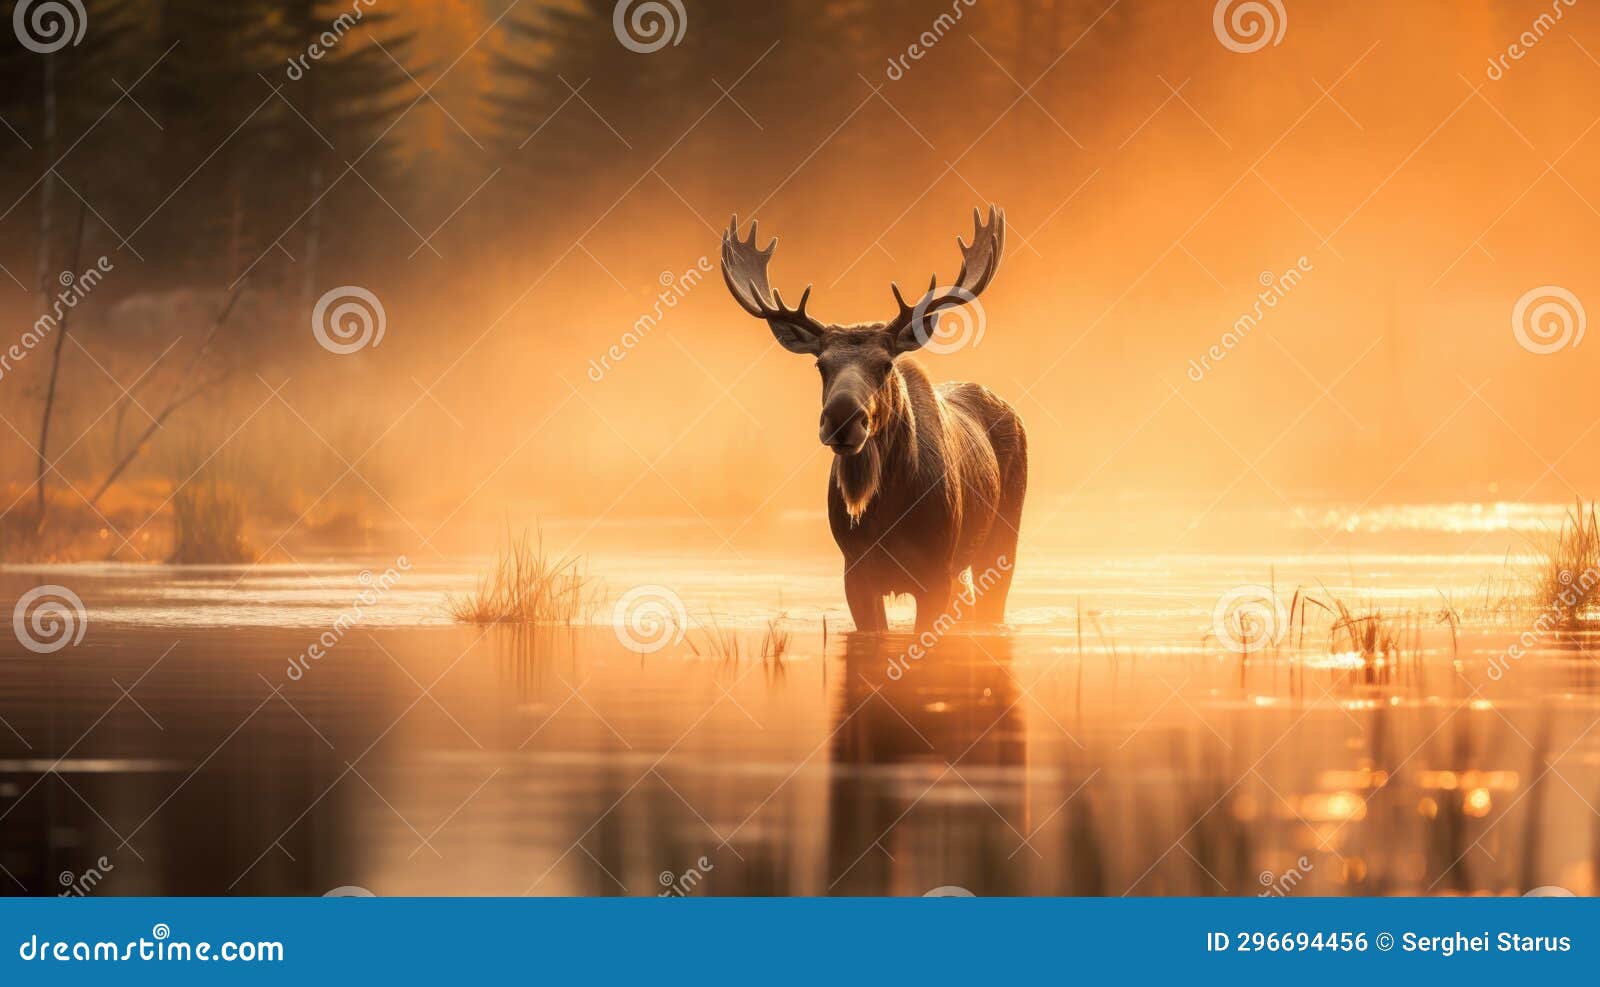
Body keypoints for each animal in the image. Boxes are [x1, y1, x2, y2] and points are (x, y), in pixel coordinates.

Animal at [721, 206, 1027, 633]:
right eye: (820, 365)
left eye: (885, 364)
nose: (841, 418)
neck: (888, 516)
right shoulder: (855, 573)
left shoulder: (938, 573)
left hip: (1001, 543)